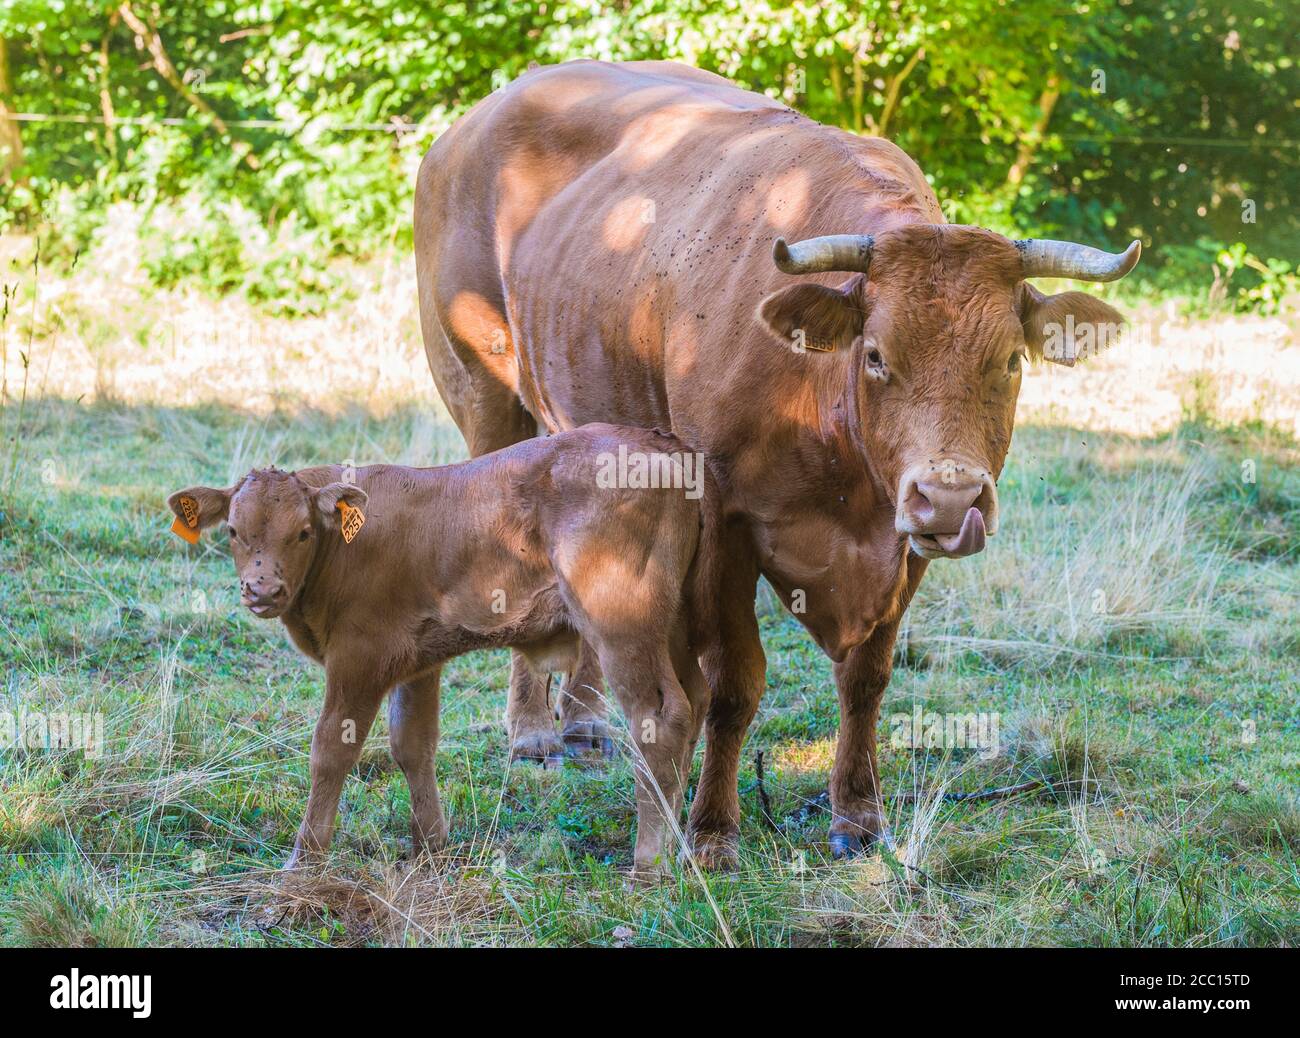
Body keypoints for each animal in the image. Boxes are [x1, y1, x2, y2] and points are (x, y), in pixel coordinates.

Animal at [167, 424, 719, 880]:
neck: (344, 546)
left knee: (660, 717)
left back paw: (649, 861)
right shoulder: (416, 660)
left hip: (622, 623)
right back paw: (676, 844)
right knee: (697, 700)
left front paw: (305, 858)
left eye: (302, 532)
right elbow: (412, 745)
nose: (262, 589)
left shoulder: (358, 658)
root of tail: (660, 443)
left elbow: (331, 749)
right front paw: (432, 847)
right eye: (234, 532)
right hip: (676, 626)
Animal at [414, 59, 1140, 867]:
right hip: (486, 397)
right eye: (876, 354)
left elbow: (866, 679)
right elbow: (734, 687)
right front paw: (711, 830)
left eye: (1011, 360)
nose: (949, 499)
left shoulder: (903, 542)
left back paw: (584, 722)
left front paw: (857, 815)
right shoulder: (723, 526)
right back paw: (534, 730)